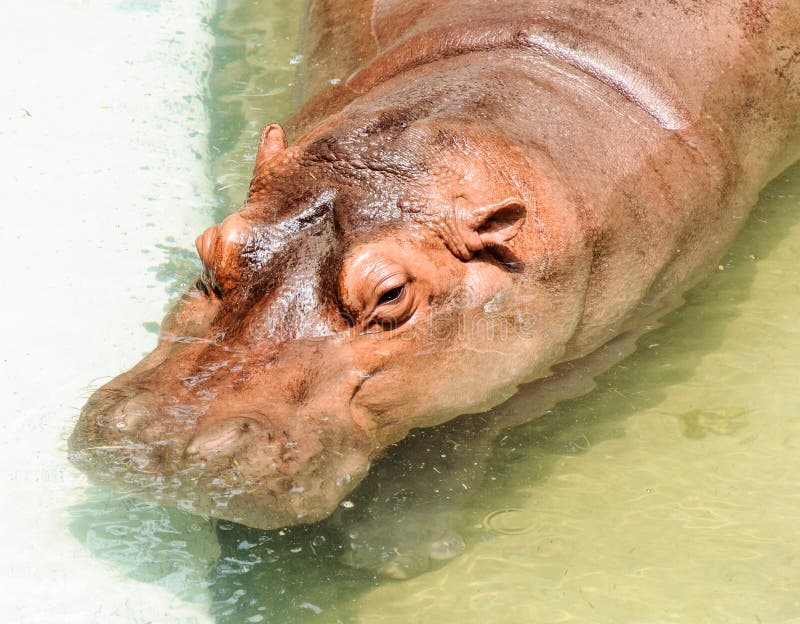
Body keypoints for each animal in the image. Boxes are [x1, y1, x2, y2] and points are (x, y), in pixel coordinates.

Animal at [70, 0, 800, 576]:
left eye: (392, 295)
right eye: (207, 252)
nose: (165, 440)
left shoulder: (602, 341)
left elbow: (465, 426)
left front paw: (396, 546)